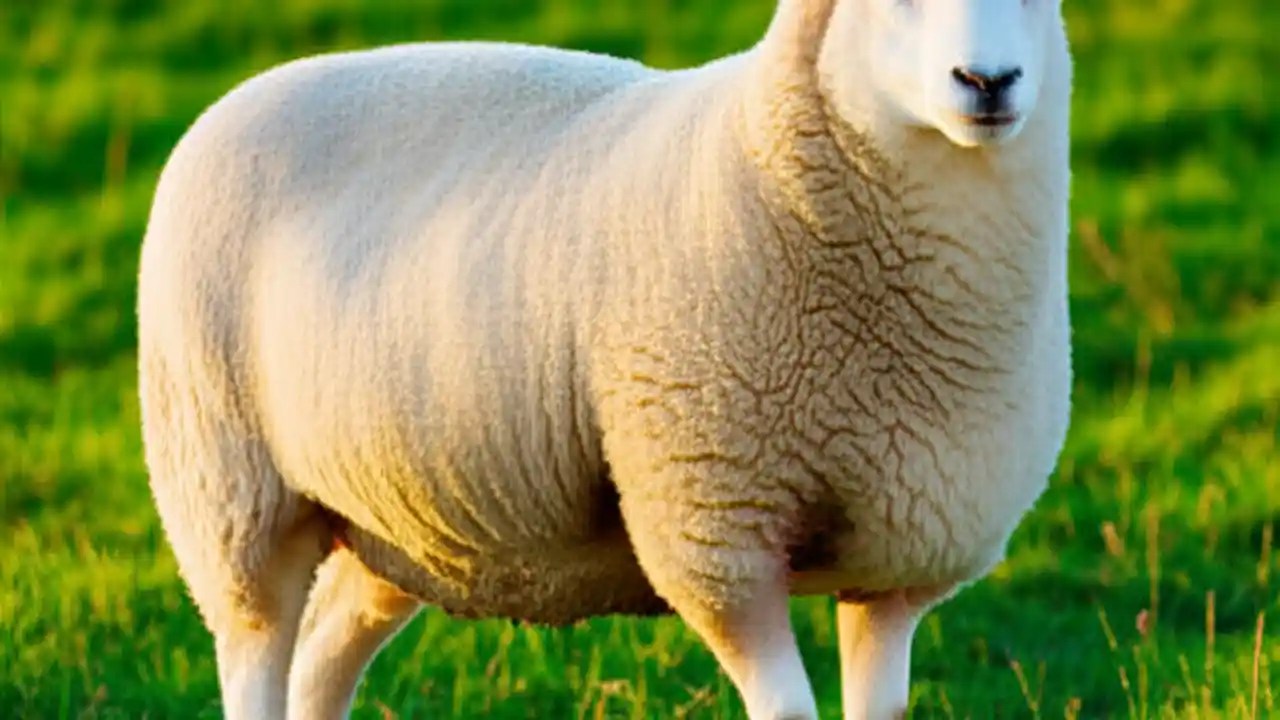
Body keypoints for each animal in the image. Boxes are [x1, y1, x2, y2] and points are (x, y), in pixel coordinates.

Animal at [136, 0, 1074, 718]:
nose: (988, 83)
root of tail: (236, 99)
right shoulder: (717, 531)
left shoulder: (897, 562)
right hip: (231, 492)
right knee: (257, 648)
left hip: (399, 516)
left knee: (325, 654)